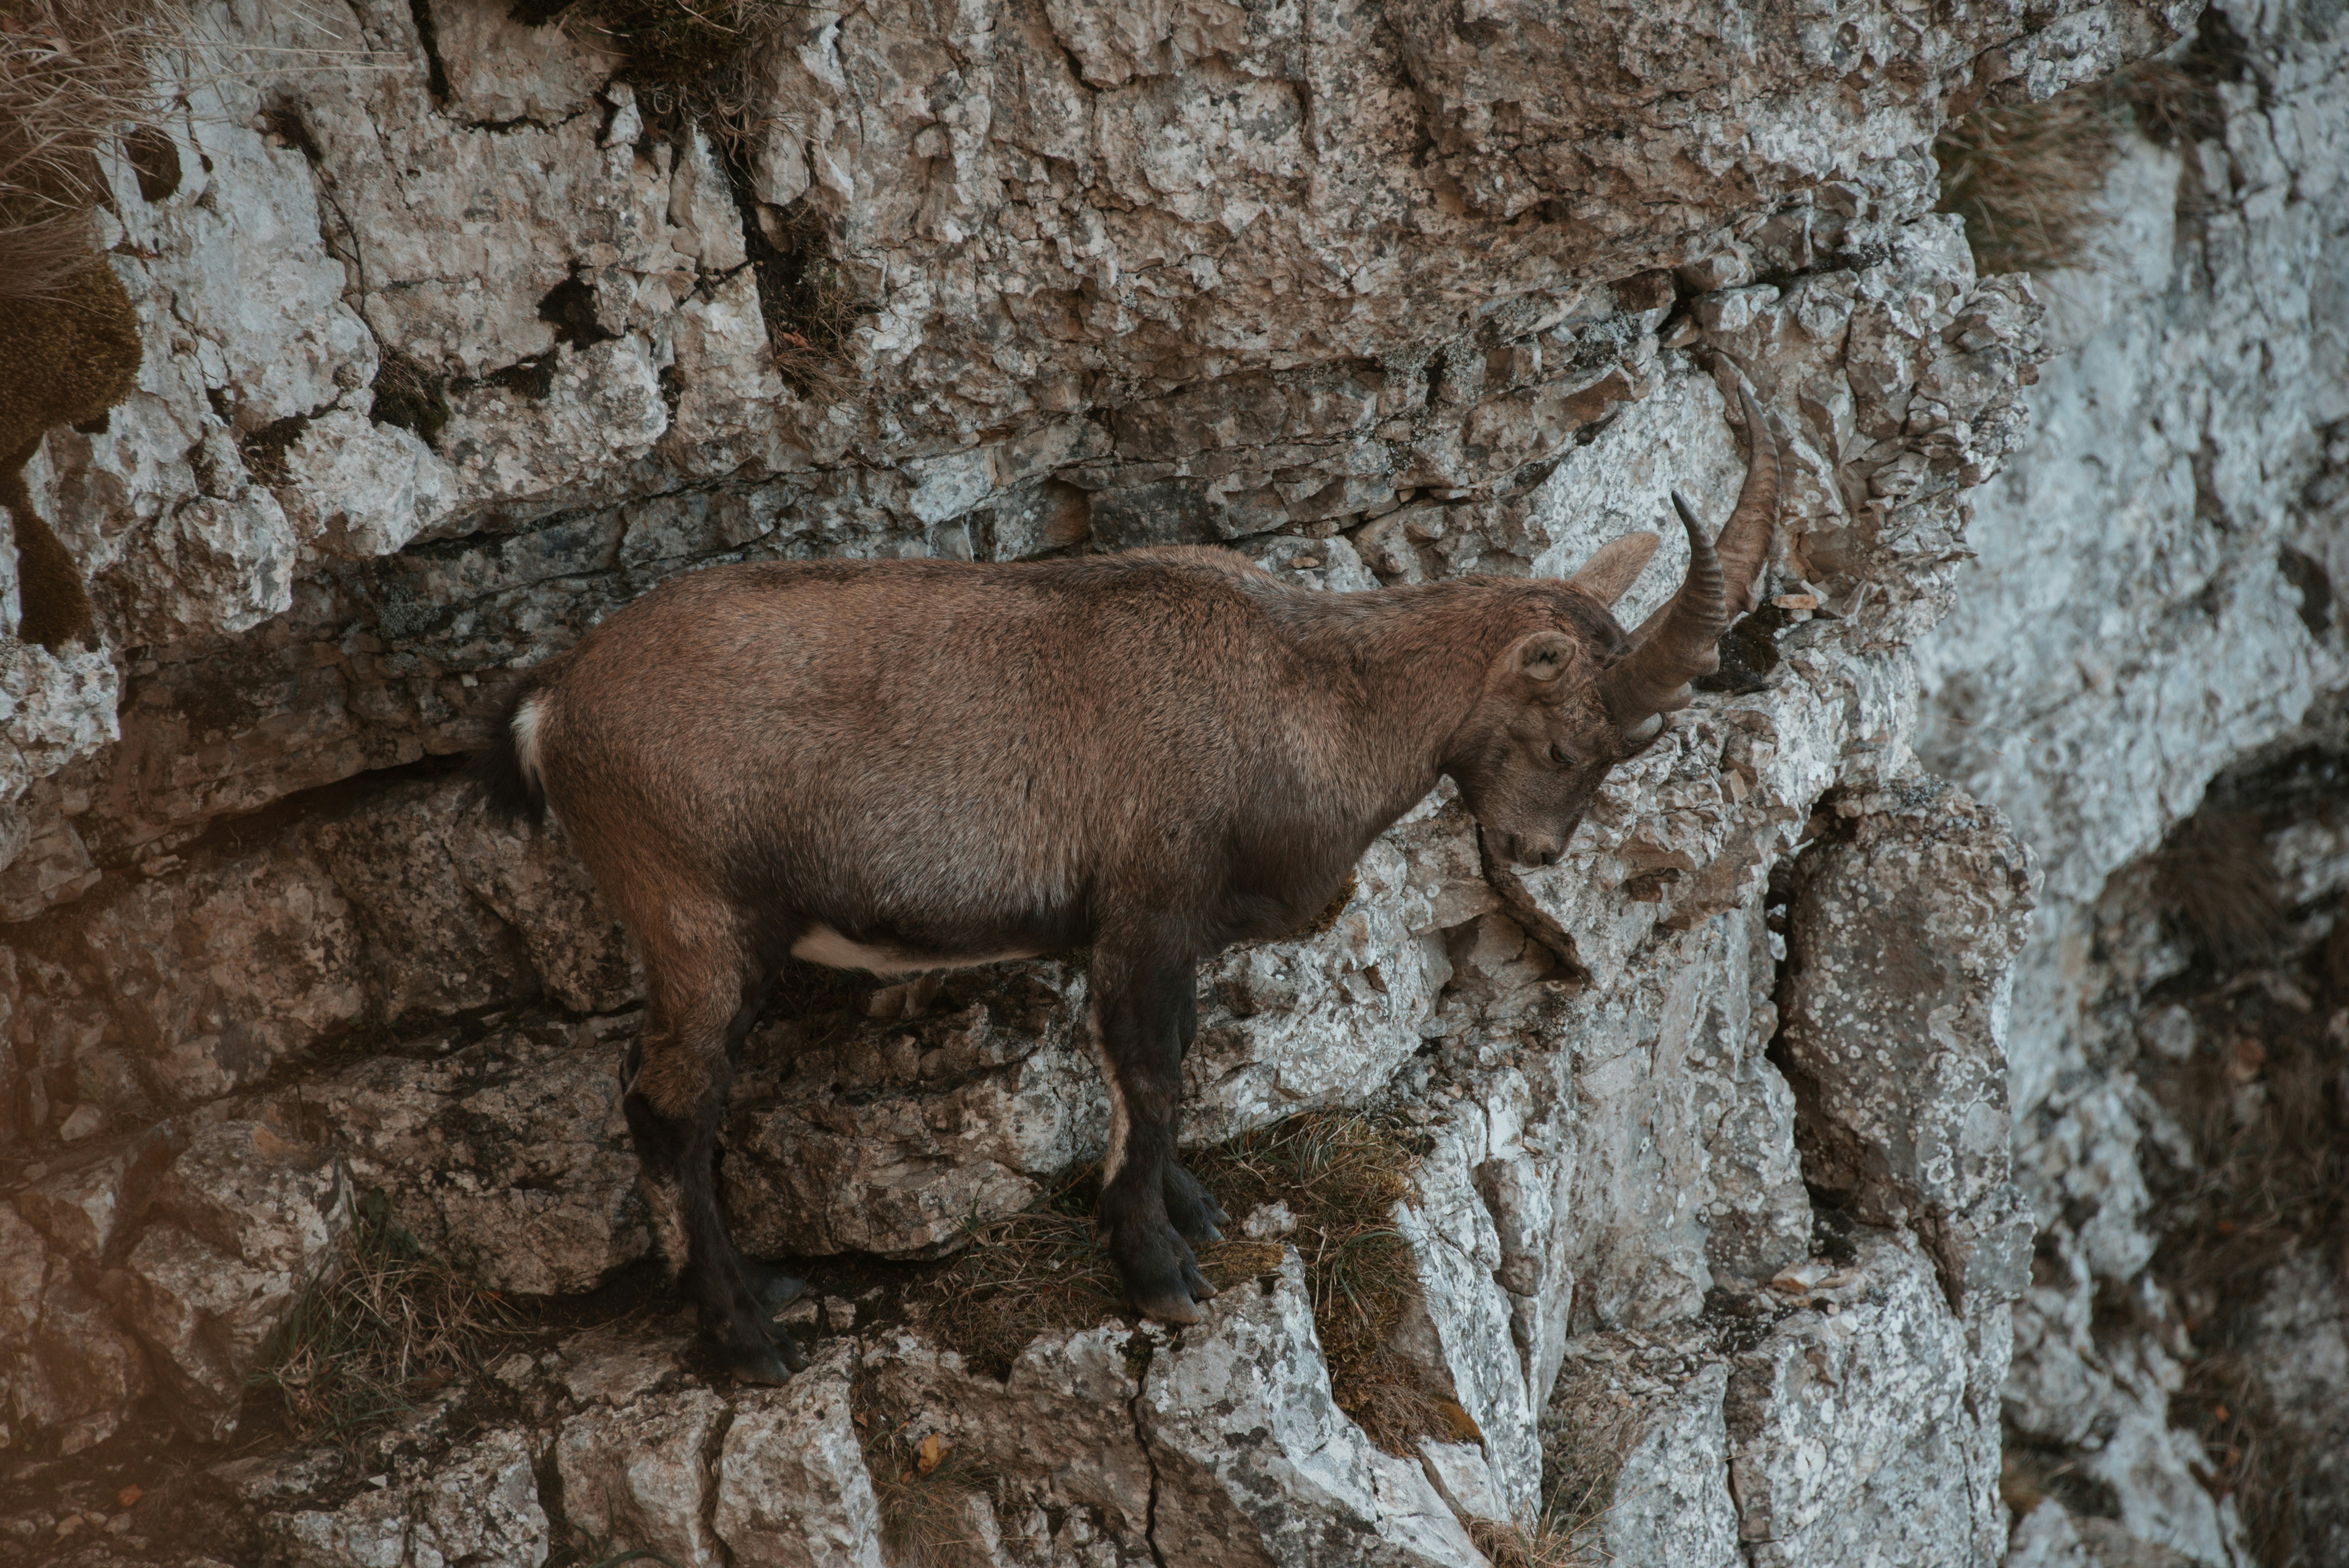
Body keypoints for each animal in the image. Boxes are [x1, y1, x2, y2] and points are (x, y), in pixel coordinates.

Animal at [476, 390, 1780, 1381]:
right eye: (1568, 744)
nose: (1540, 853)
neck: (1305, 695)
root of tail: (557, 701)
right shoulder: (1146, 914)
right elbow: (1151, 1076)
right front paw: (1158, 1268)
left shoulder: (1160, 933)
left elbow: (1154, 1076)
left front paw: (1180, 1209)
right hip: (697, 916)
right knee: (668, 1111)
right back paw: (745, 1333)